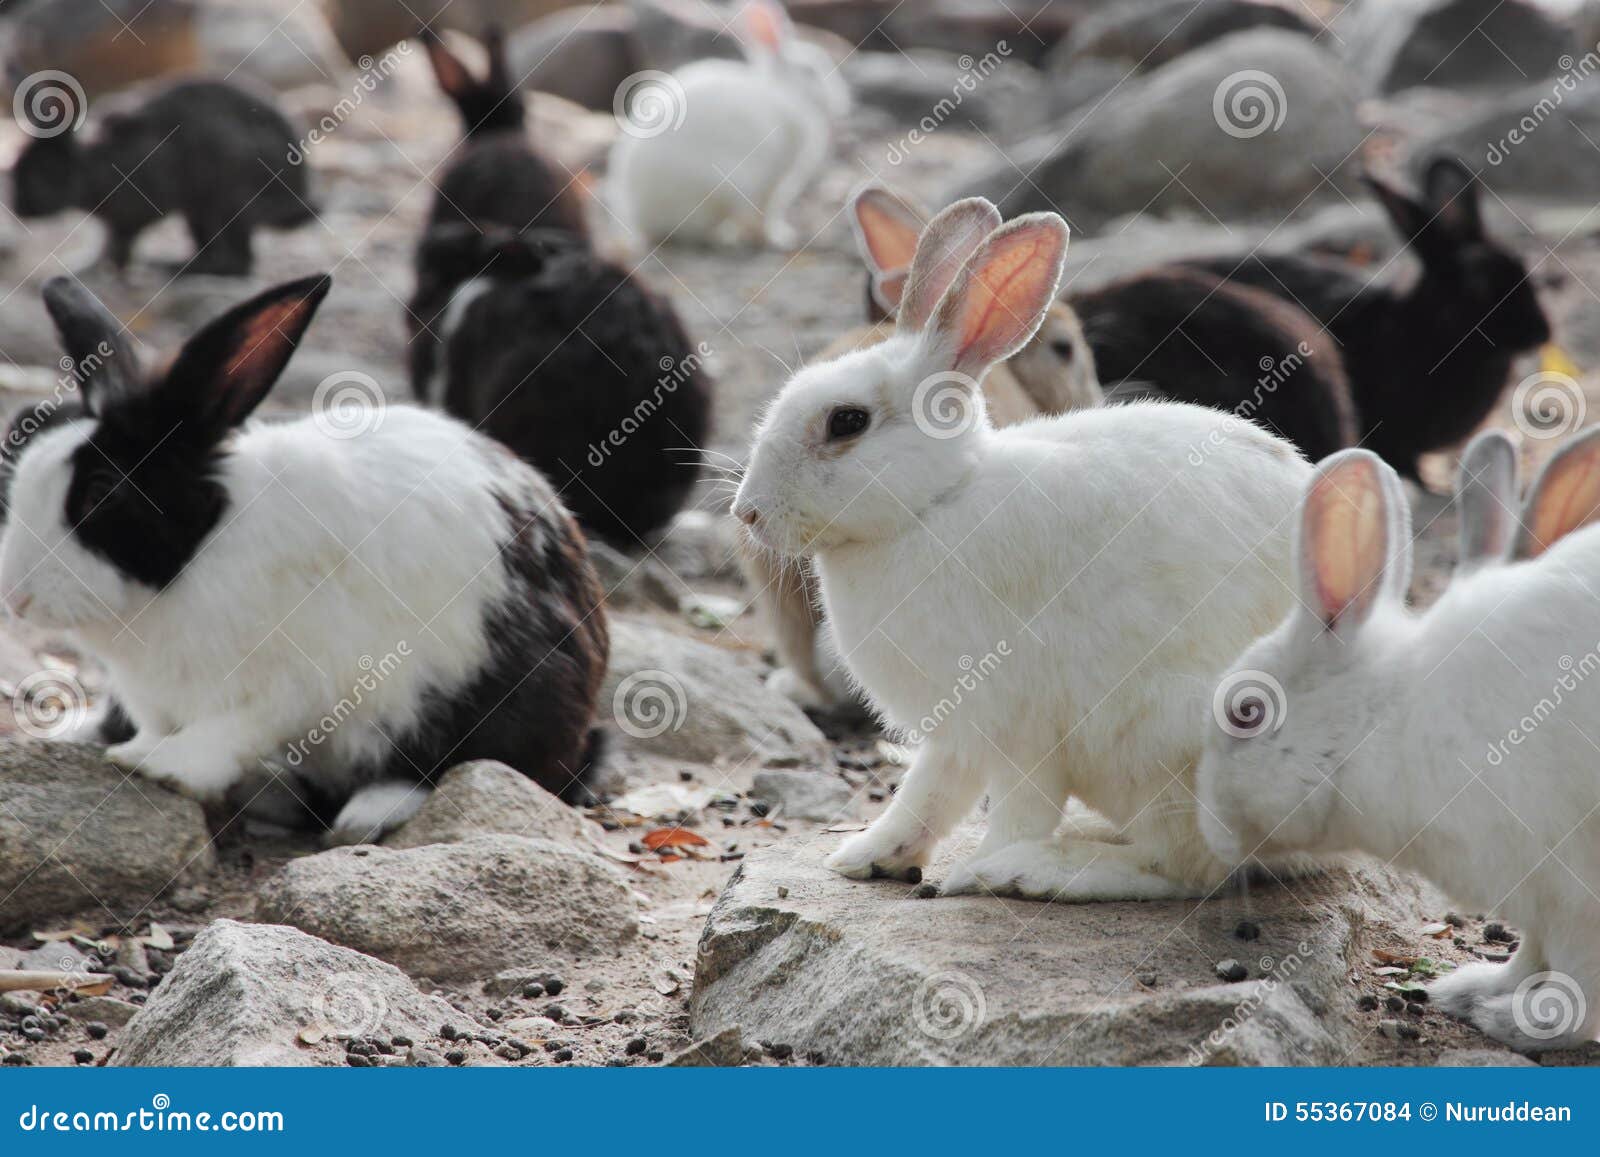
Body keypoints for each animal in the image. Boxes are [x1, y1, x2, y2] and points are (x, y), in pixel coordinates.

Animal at [0, 273, 610, 844]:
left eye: (102, 491)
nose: (17, 598)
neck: (203, 550)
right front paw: (140, 751)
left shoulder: (293, 682)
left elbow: (231, 730)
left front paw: (162, 768)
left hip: (491, 692)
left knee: (484, 762)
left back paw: (366, 813)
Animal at [11, 76, 315, 275]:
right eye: (16, 165)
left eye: (47, 169)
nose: (19, 207)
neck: (93, 170)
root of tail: (298, 193)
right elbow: (110, 242)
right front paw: (90, 266)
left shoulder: (139, 213)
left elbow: (120, 241)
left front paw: (102, 268)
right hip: (198, 215)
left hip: (228, 204)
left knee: (240, 263)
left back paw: (174, 268)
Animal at [607, 0, 849, 250]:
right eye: (811, 71)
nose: (842, 99)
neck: (786, 91)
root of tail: (641, 219)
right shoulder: (776, 182)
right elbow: (768, 213)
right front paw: (780, 238)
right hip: (722, 191)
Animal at [1195, 429, 1600, 1052]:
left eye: (1247, 712)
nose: (1209, 831)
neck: (1387, 720)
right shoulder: (1539, 897)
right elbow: (1531, 954)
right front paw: (1471, 989)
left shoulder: (1574, 889)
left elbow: (1578, 986)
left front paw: (1518, 1023)